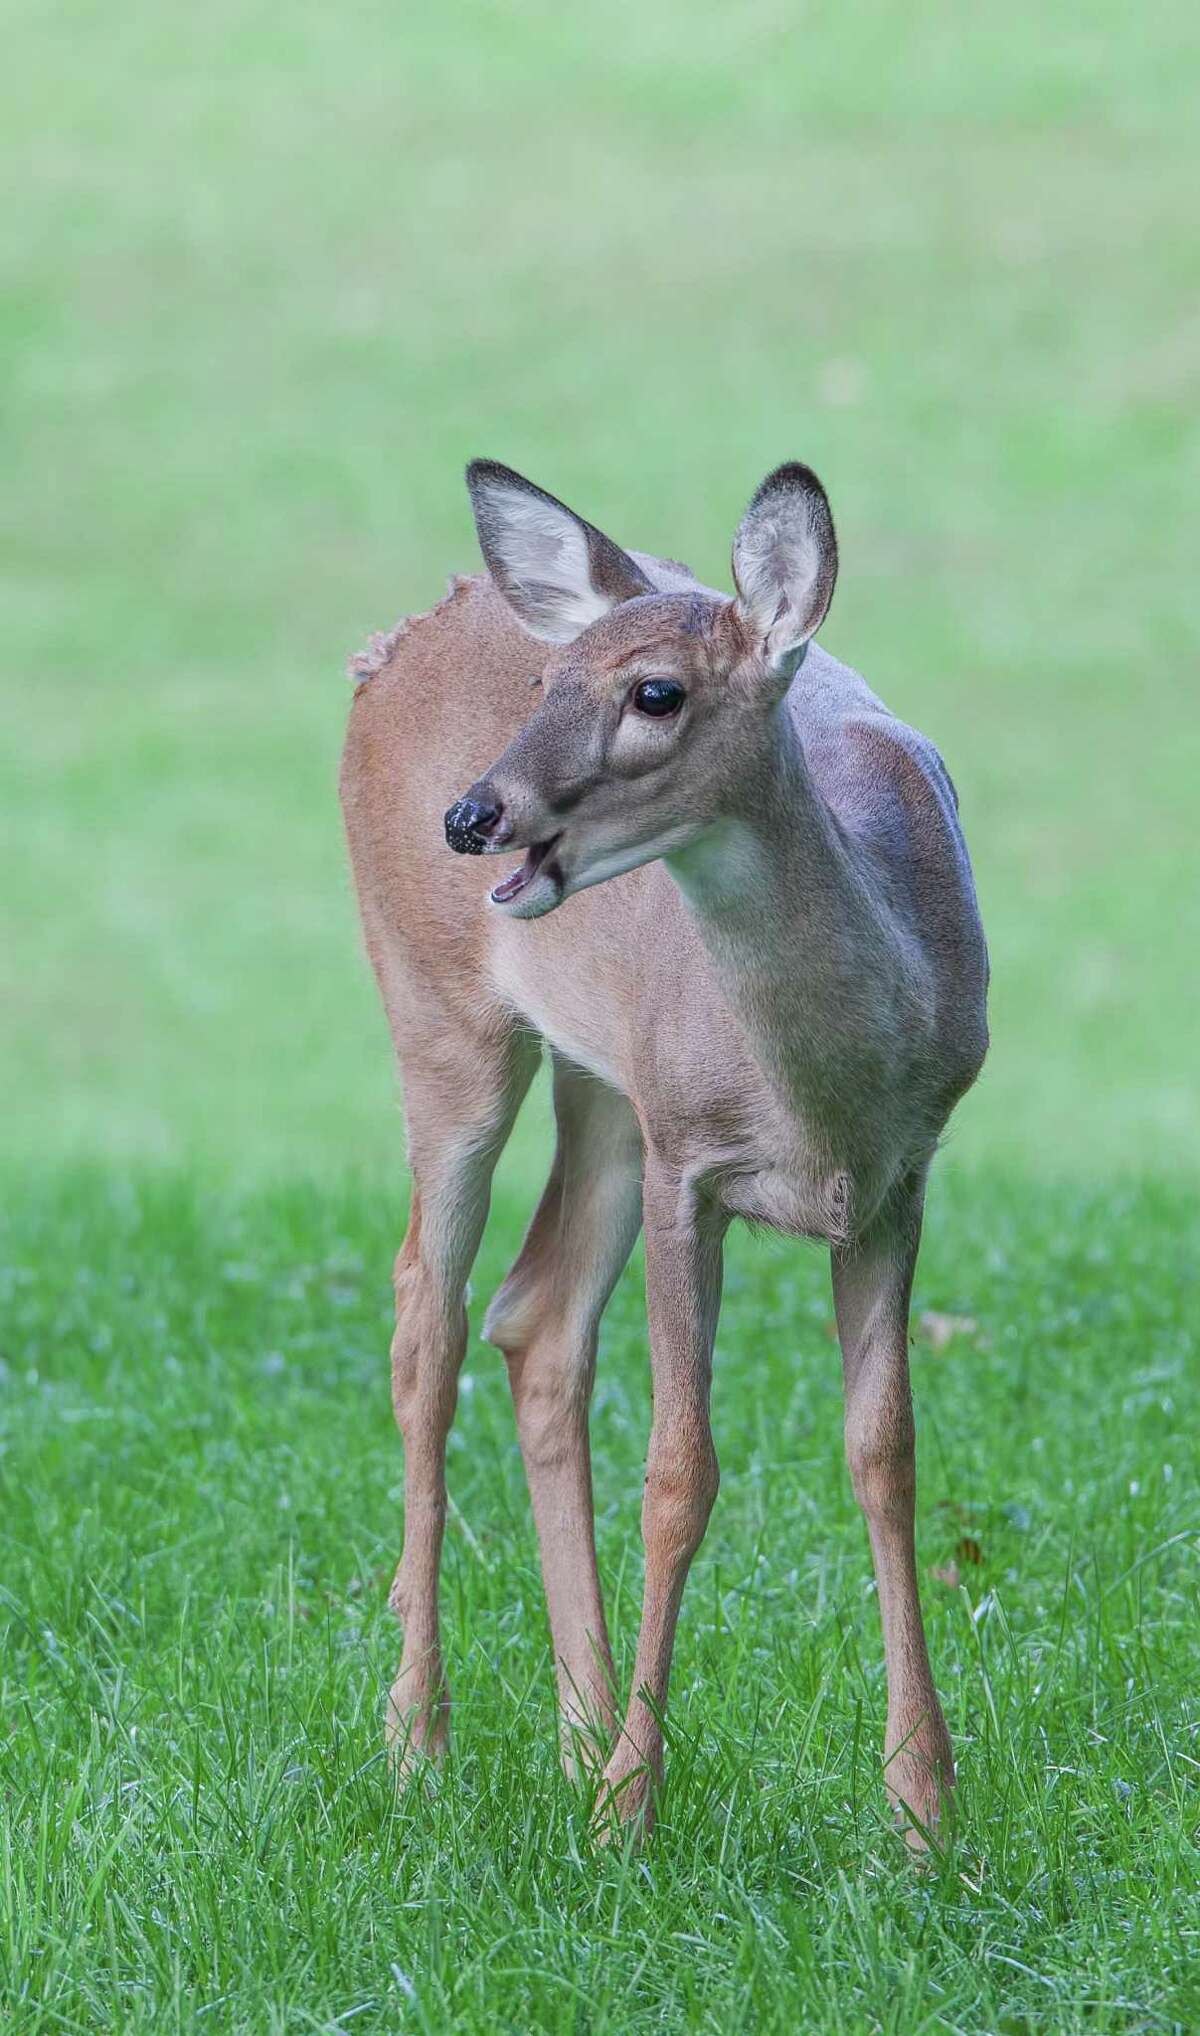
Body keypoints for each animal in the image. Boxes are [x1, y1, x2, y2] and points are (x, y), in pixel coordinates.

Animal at [339, 456, 989, 1841]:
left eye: (656, 692)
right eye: (543, 682)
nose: (473, 812)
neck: (824, 1098)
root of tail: (390, 647)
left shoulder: (902, 1175)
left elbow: (887, 1452)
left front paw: (922, 1806)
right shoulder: (692, 1162)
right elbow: (680, 1470)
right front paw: (631, 1810)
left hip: (605, 1083)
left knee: (537, 1314)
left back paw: (579, 1730)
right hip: (439, 1012)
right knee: (428, 1315)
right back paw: (422, 1739)